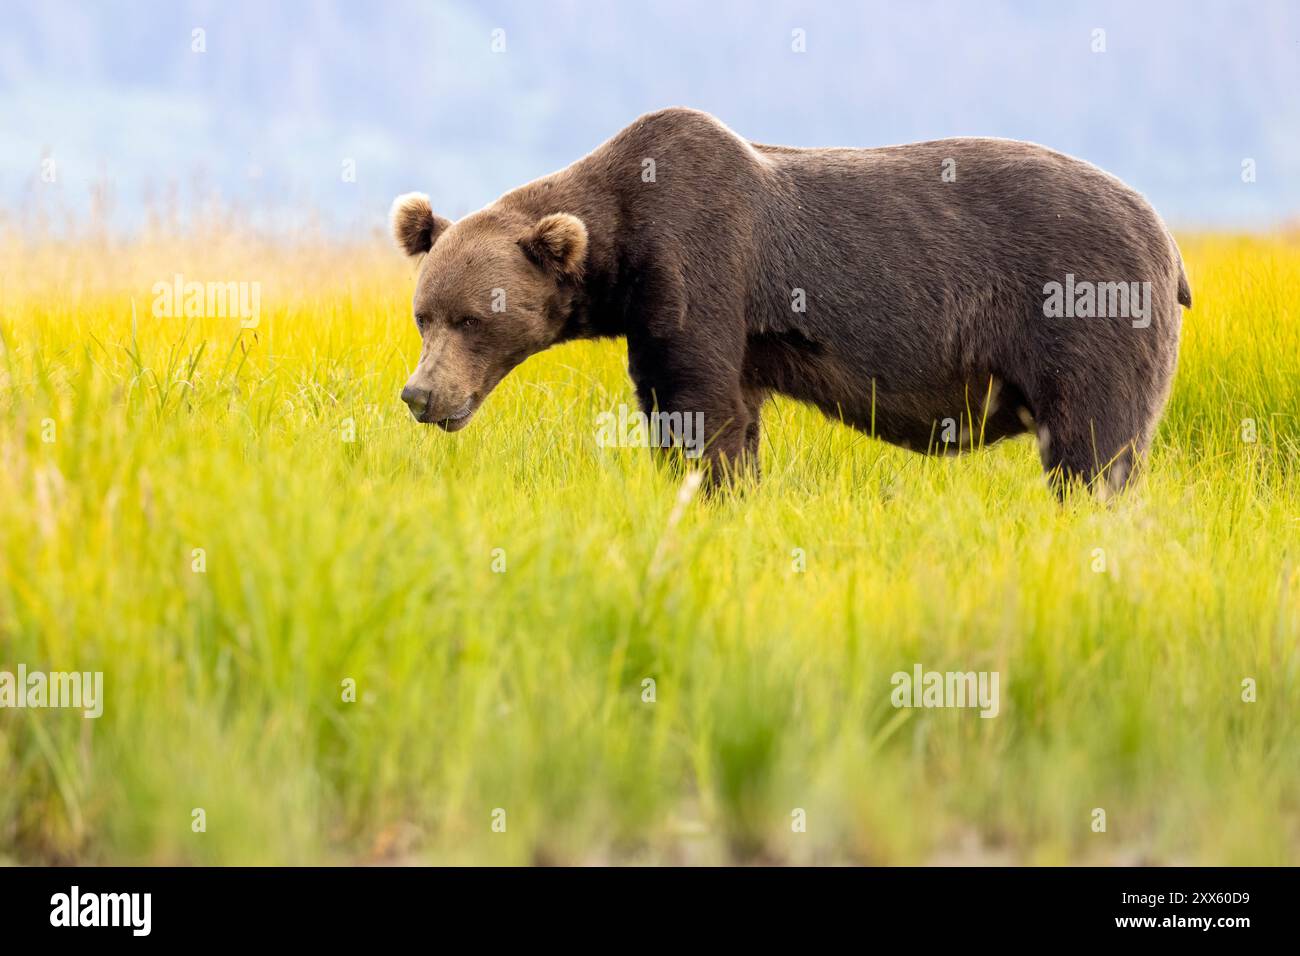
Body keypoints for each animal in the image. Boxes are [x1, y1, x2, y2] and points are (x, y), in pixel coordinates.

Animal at [391, 106, 1189, 497]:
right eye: (423, 316)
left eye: (472, 319)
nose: (421, 395)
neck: (622, 250)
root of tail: (1169, 239)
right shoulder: (727, 336)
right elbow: (728, 415)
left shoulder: (701, 266)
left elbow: (694, 408)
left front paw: (704, 491)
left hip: (1087, 309)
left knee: (1096, 445)